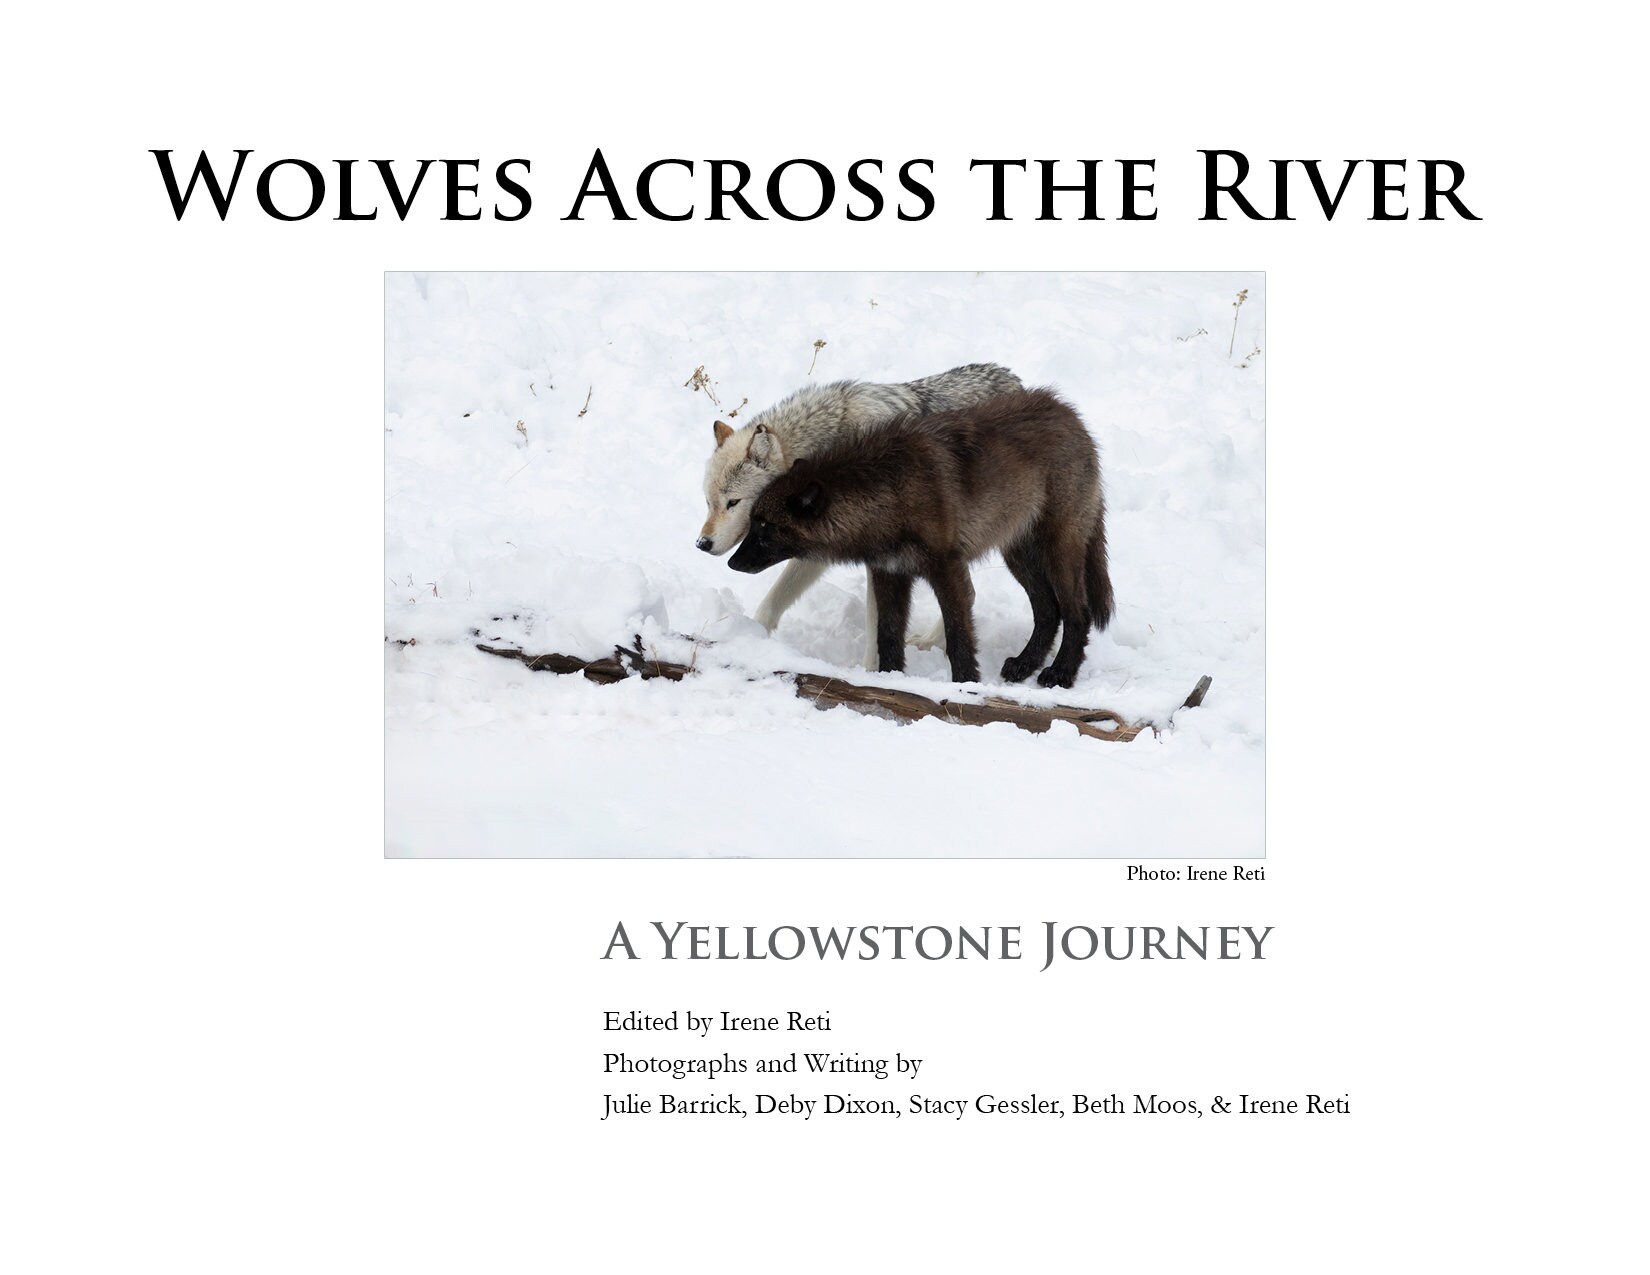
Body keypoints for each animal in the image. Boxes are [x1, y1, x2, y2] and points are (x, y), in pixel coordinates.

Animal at [697, 363, 1023, 668]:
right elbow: (772, 601)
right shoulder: (818, 547)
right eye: (709, 503)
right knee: (969, 592)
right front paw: (750, 637)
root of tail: (1013, 380)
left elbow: (878, 628)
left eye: (733, 502)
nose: (702, 544)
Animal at [727, 388, 1113, 688]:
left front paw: (966, 686)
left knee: (1076, 612)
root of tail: (1070, 413)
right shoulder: (890, 574)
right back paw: (1023, 665)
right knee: (1048, 610)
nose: (731, 562)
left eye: (764, 526)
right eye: (753, 521)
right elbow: (887, 636)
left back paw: (1060, 674)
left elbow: (958, 636)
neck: (892, 493)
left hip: (1058, 552)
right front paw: (890, 682)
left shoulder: (948, 571)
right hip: (1017, 556)